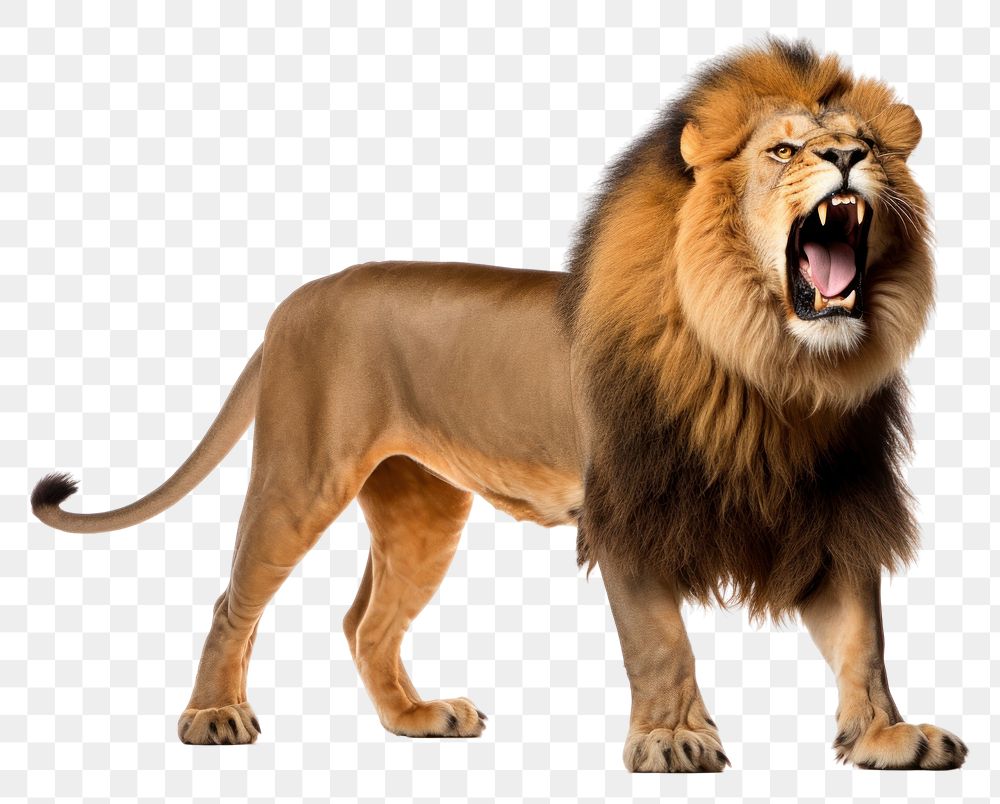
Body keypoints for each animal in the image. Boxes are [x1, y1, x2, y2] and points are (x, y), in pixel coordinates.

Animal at [31, 39, 967, 771]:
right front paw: (673, 738)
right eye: (783, 150)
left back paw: (417, 718)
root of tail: (297, 300)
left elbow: (862, 638)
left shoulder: (830, 509)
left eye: (869, 144)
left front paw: (888, 736)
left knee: (364, 622)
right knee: (234, 602)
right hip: (301, 474)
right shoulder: (627, 507)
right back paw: (212, 717)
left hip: (421, 507)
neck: (774, 367)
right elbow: (661, 640)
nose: (846, 160)